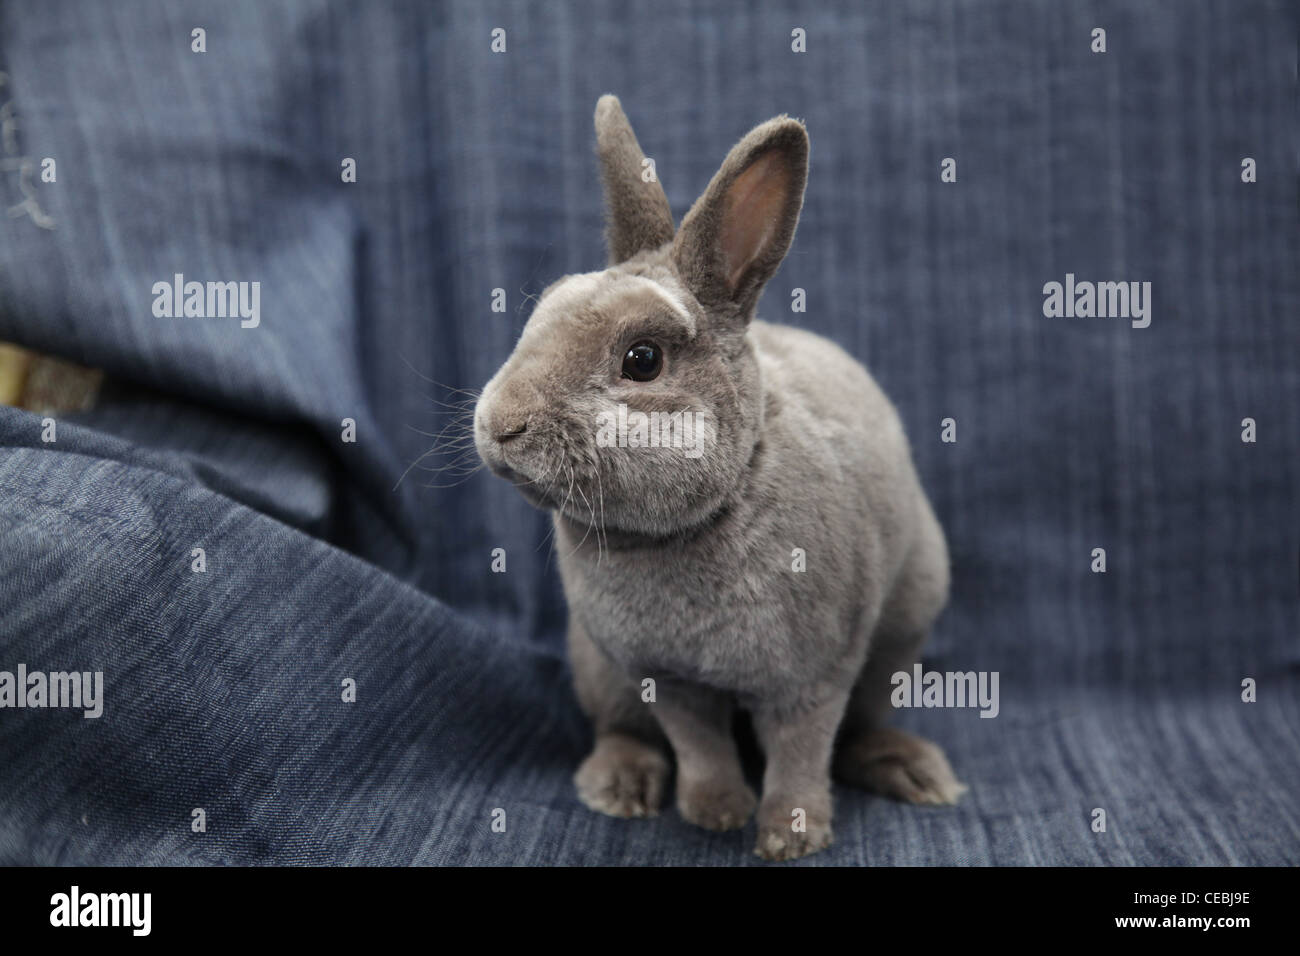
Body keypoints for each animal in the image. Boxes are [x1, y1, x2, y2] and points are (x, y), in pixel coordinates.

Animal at [474, 95, 965, 860]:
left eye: (642, 359)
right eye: (539, 316)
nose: (501, 424)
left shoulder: (814, 674)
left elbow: (800, 750)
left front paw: (790, 836)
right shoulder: (666, 681)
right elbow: (699, 744)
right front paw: (715, 813)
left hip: (898, 643)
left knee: (859, 728)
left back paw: (912, 772)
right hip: (598, 667)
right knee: (621, 730)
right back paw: (619, 786)